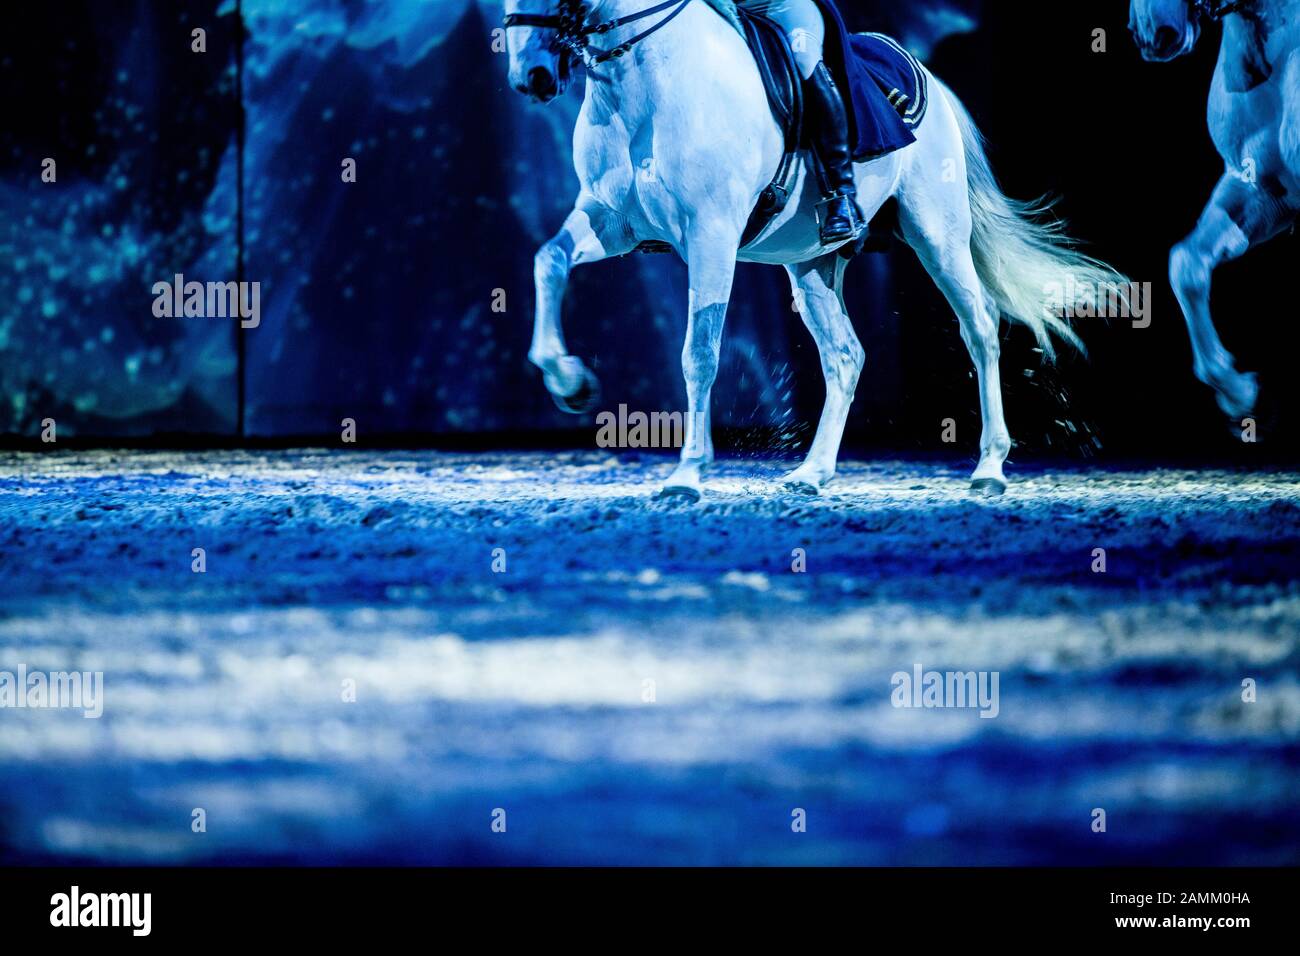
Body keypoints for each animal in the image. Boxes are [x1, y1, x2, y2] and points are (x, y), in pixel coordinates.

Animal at [503, 0, 1123, 499]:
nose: (530, 76)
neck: (644, 82)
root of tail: (926, 76)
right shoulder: (609, 220)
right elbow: (547, 260)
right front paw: (568, 380)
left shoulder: (710, 236)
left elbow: (699, 353)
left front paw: (686, 475)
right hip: (810, 263)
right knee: (846, 355)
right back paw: (811, 474)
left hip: (937, 235)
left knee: (980, 326)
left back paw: (989, 468)